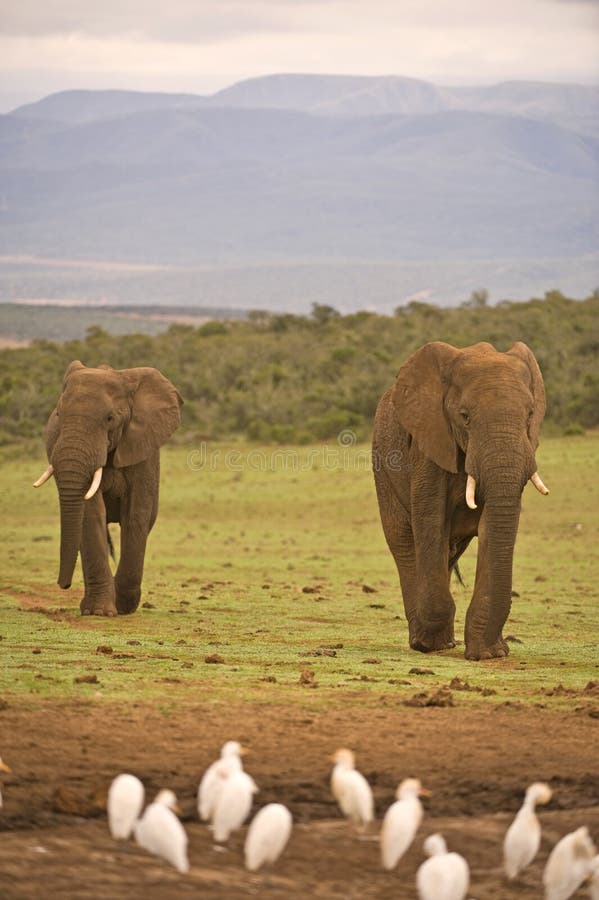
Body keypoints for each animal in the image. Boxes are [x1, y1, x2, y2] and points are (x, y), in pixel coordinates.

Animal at [33, 360, 182, 616]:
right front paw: (99, 612)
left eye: (110, 418)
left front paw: (123, 607)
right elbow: (91, 513)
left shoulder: (142, 449)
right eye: (59, 415)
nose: (63, 585)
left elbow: (136, 515)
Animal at [372, 341, 548, 660]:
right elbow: (430, 519)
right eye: (465, 416)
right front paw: (433, 645)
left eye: (530, 414)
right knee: (403, 542)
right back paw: (426, 641)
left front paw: (489, 653)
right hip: (381, 463)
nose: (501, 649)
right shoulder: (429, 440)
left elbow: (494, 525)